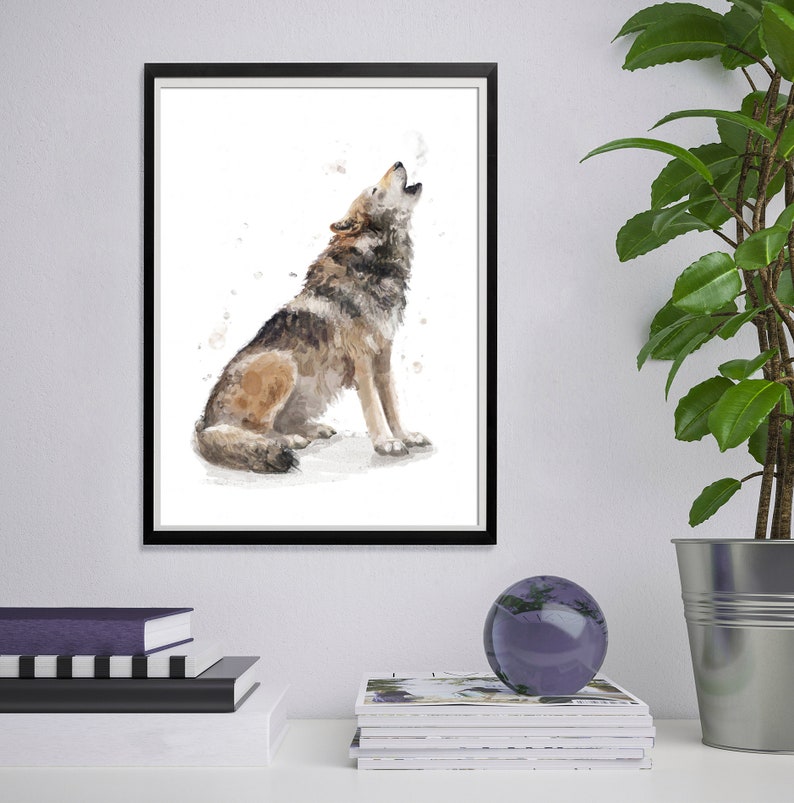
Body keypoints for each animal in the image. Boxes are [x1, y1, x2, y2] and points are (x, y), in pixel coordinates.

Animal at [195, 161, 431, 474]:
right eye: (374, 190)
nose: (398, 163)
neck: (374, 263)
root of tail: (204, 424)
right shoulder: (362, 360)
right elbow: (373, 409)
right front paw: (385, 443)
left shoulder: (383, 356)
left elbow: (392, 405)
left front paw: (405, 436)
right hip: (283, 365)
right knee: (255, 431)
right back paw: (289, 441)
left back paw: (312, 430)